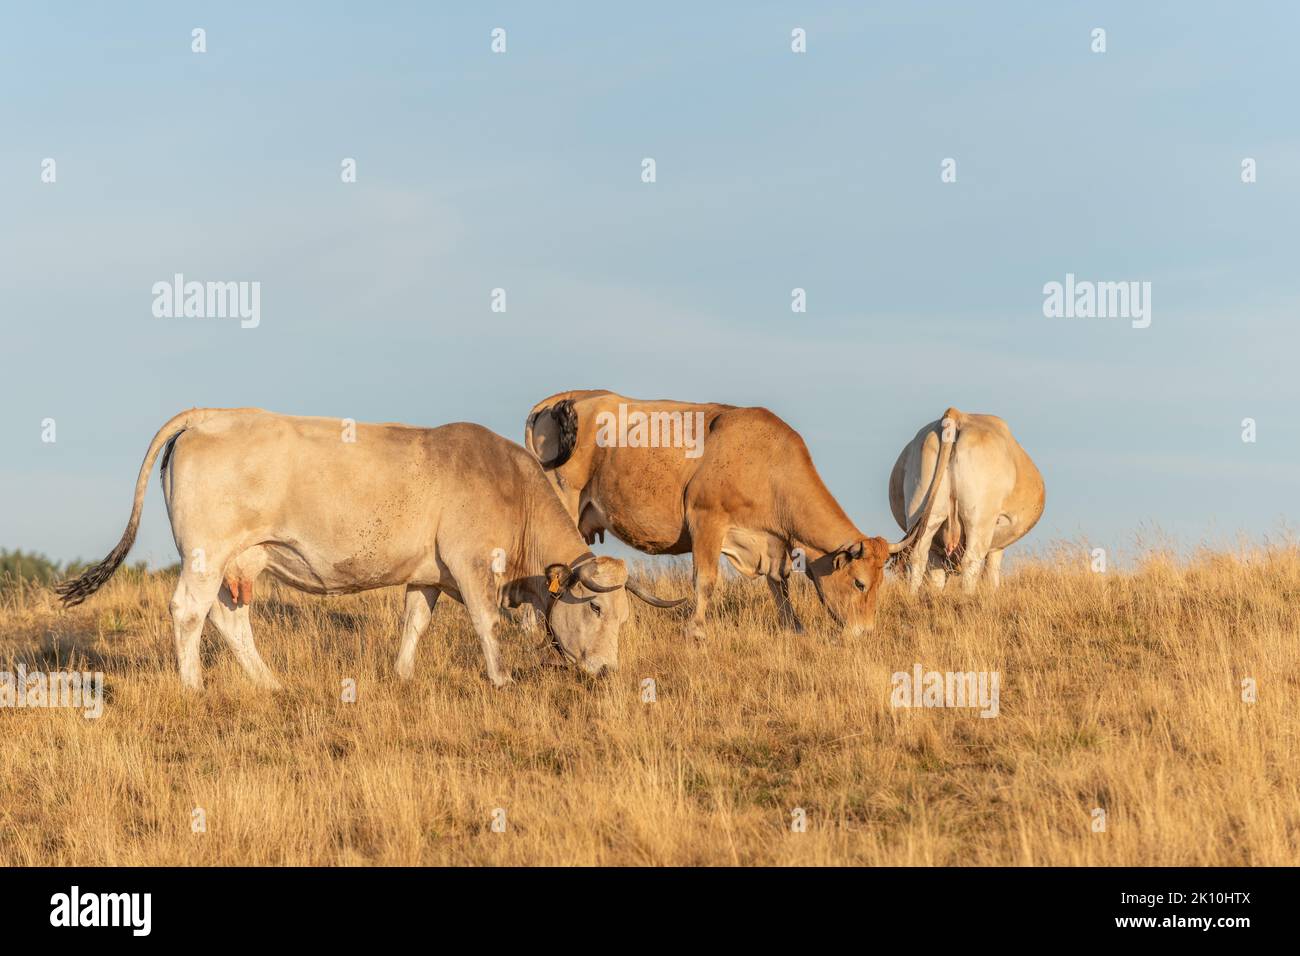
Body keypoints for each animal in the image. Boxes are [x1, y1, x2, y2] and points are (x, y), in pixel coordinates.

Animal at [55, 408, 685, 690]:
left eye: (625, 617)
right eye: (597, 607)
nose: (607, 671)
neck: (512, 488)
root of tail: (210, 416)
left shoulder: (428, 573)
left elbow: (414, 623)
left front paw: (402, 674)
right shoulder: (471, 563)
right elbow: (485, 623)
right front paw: (502, 680)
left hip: (241, 561)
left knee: (229, 619)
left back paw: (270, 684)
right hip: (208, 555)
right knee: (189, 611)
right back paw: (194, 687)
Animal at [524, 390, 925, 641]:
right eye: (859, 583)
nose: (865, 632)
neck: (768, 463)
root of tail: (559, 399)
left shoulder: (771, 539)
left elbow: (779, 582)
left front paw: (794, 627)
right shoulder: (707, 521)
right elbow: (706, 580)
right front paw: (696, 630)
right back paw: (530, 626)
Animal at [888, 407, 1045, 593]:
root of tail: (957, 415)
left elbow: (936, 578)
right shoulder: (996, 545)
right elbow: (991, 576)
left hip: (926, 511)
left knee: (917, 557)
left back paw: (912, 597)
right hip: (979, 519)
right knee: (971, 560)